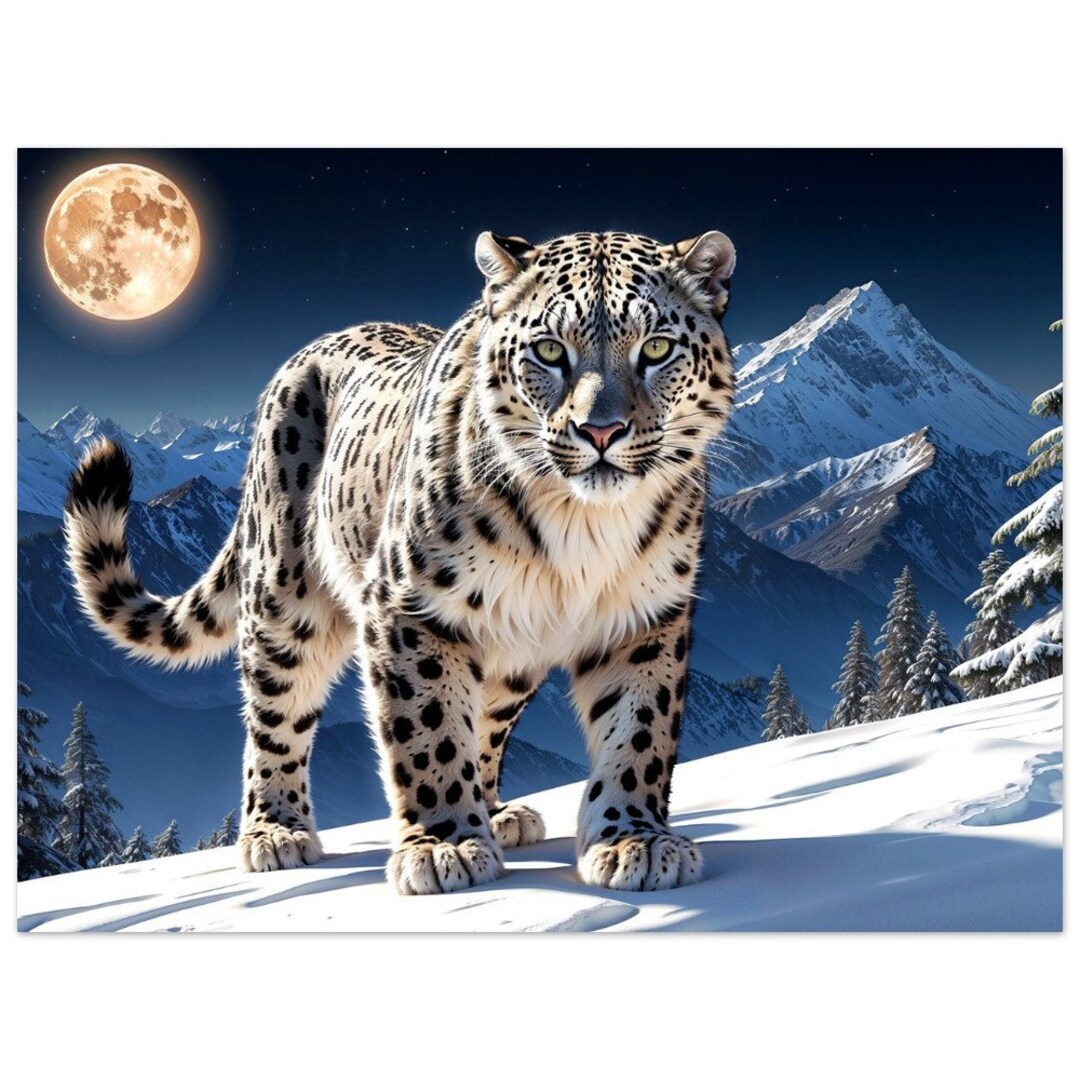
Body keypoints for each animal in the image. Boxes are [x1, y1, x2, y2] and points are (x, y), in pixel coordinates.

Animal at [64, 228, 737, 895]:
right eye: (549, 350)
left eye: (656, 348)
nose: (601, 431)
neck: (585, 527)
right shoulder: (411, 604)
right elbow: (429, 728)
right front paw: (446, 845)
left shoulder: (647, 617)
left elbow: (639, 731)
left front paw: (633, 840)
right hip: (285, 599)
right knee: (275, 714)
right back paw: (274, 831)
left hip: (511, 652)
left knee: (486, 722)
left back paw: (499, 812)